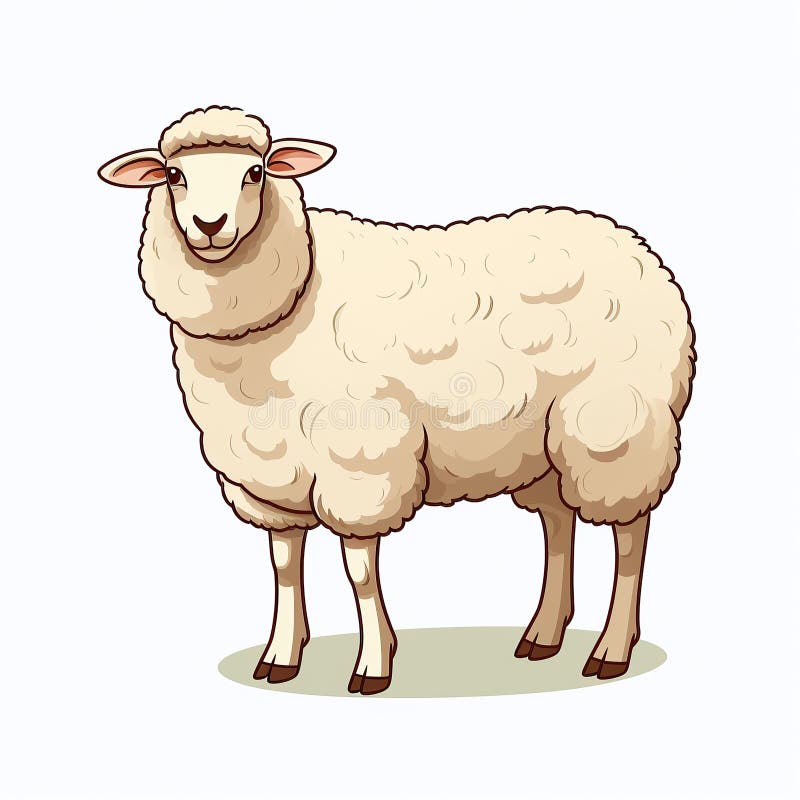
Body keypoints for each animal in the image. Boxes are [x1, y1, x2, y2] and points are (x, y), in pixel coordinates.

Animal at [99, 106, 695, 695]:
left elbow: (359, 571)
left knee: (629, 534)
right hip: (544, 447)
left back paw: (611, 650)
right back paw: (543, 635)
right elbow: (284, 566)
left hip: (614, 427)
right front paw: (280, 657)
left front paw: (373, 665)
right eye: (174, 176)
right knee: (558, 524)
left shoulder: (362, 462)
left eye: (256, 173)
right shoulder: (271, 475)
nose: (210, 226)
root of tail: (634, 246)